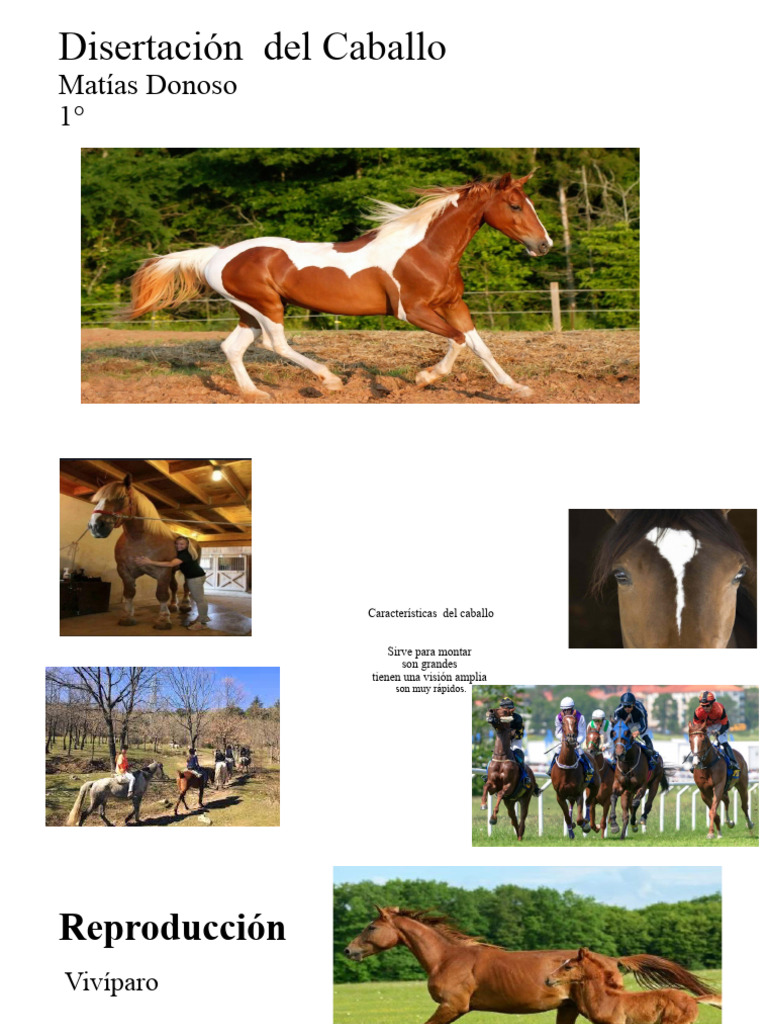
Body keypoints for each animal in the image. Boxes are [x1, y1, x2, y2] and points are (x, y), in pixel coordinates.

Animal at [88, 473, 200, 629]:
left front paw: (163, 620)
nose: (95, 526)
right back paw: (173, 606)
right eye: (97, 500)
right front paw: (127, 617)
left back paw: (185, 606)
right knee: (174, 587)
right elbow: (129, 593)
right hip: (172, 571)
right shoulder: (124, 570)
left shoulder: (162, 571)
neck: (139, 539)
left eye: (121, 497)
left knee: (186, 587)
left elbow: (161, 594)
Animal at [126, 172, 552, 401]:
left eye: (528, 203)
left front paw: (518, 389)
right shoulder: (412, 311)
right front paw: (425, 377)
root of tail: (217, 255)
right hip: (266, 306)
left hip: (248, 310)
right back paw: (329, 380)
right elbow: (458, 342)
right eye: (515, 206)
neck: (426, 249)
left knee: (232, 347)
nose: (544, 244)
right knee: (276, 344)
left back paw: (255, 394)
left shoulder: (454, 305)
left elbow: (479, 345)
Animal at [481, 707, 539, 840]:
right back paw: (518, 833)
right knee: (513, 819)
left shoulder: (509, 785)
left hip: (525, 798)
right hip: (510, 802)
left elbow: (501, 792)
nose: (490, 711)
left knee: (522, 818)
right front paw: (483, 804)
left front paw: (493, 819)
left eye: (504, 711)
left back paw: (520, 835)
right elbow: (486, 786)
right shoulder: (493, 784)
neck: (502, 757)